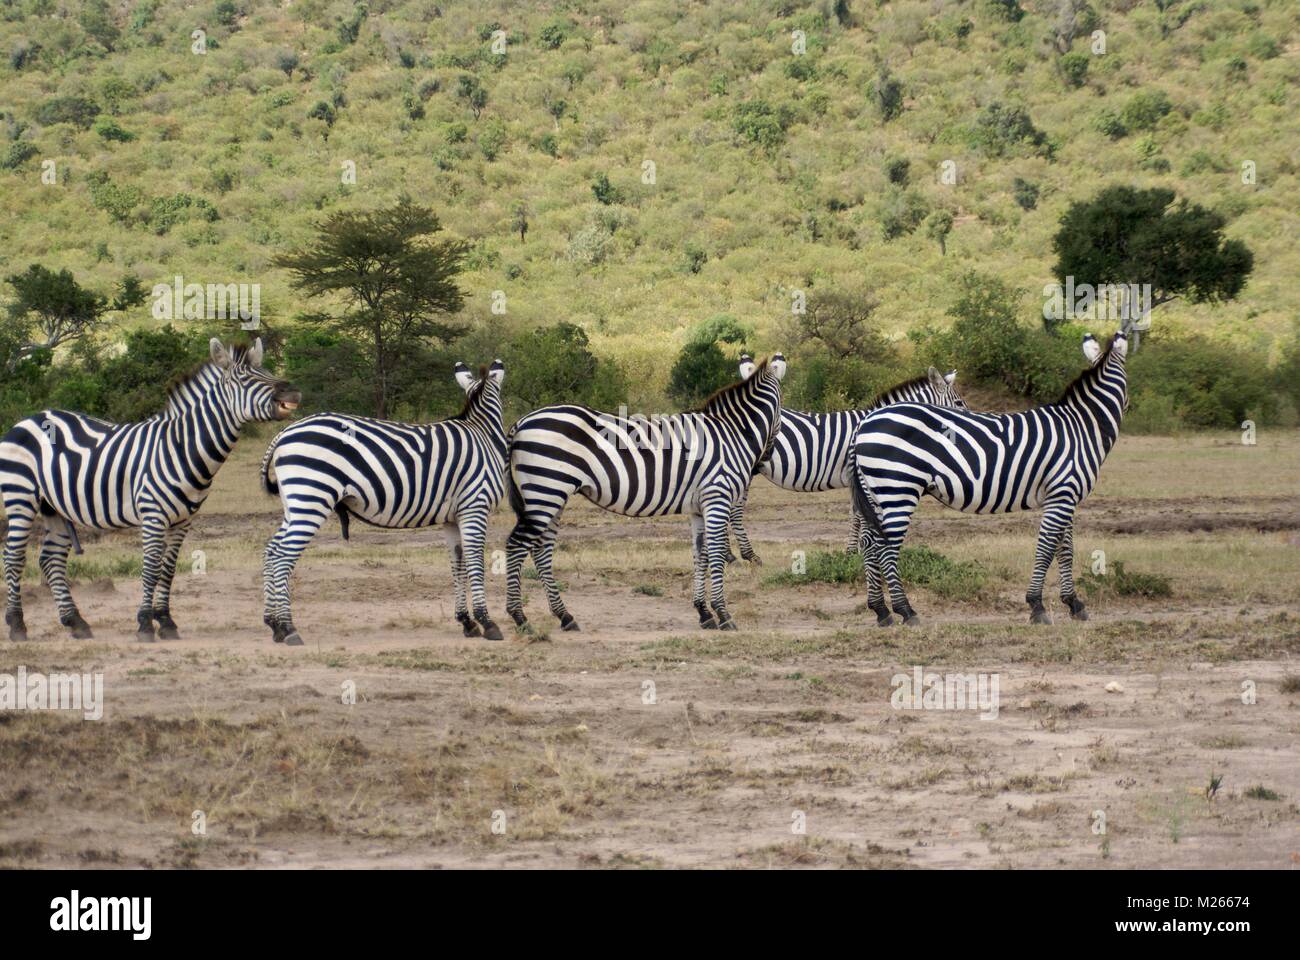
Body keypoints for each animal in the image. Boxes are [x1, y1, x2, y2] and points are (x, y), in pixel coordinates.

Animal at [0, 338, 299, 643]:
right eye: (245, 378)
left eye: (268, 371)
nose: (294, 392)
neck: (181, 448)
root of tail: (29, 419)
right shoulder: (153, 515)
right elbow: (150, 569)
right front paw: (145, 624)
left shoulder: (183, 520)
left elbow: (167, 570)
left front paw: (166, 622)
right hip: (21, 496)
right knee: (14, 557)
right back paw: (17, 625)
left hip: (53, 506)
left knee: (51, 560)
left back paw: (76, 622)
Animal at [260, 361, 507, 646]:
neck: (484, 435)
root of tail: (283, 433)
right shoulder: (475, 505)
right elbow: (476, 561)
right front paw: (487, 622)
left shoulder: (452, 516)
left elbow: (458, 563)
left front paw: (466, 621)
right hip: (312, 499)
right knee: (283, 556)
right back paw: (289, 628)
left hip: (295, 503)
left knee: (271, 552)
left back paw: (274, 625)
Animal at [504, 355, 786, 633]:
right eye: (781, 412)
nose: (765, 460)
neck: (732, 434)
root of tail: (522, 422)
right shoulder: (717, 497)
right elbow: (716, 556)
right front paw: (723, 614)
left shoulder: (699, 507)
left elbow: (701, 555)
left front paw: (704, 613)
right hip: (546, 491)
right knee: (516, 545)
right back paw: (520, 618)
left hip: (550, 495)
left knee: (541, 551)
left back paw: (565, 616)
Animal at [727, 357, 966, 565]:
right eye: (959, 403)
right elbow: (861, 514)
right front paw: (855, 551)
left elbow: (857, 514)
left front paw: (856, 550)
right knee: (733, 511)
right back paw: (747, 555)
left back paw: (730, 556)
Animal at [850, 332, 1129, 626]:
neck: (1082, 426)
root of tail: (865, 422)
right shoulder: (1064, 492)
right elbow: (1047, 547)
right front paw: (1037, 606)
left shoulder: (1062, 497)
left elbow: (1064, 549)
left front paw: (1073, 603)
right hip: (898, 489)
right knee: (886, 548)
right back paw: (906, 611)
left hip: (877, 493)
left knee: (870, 544)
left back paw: (881, 611)